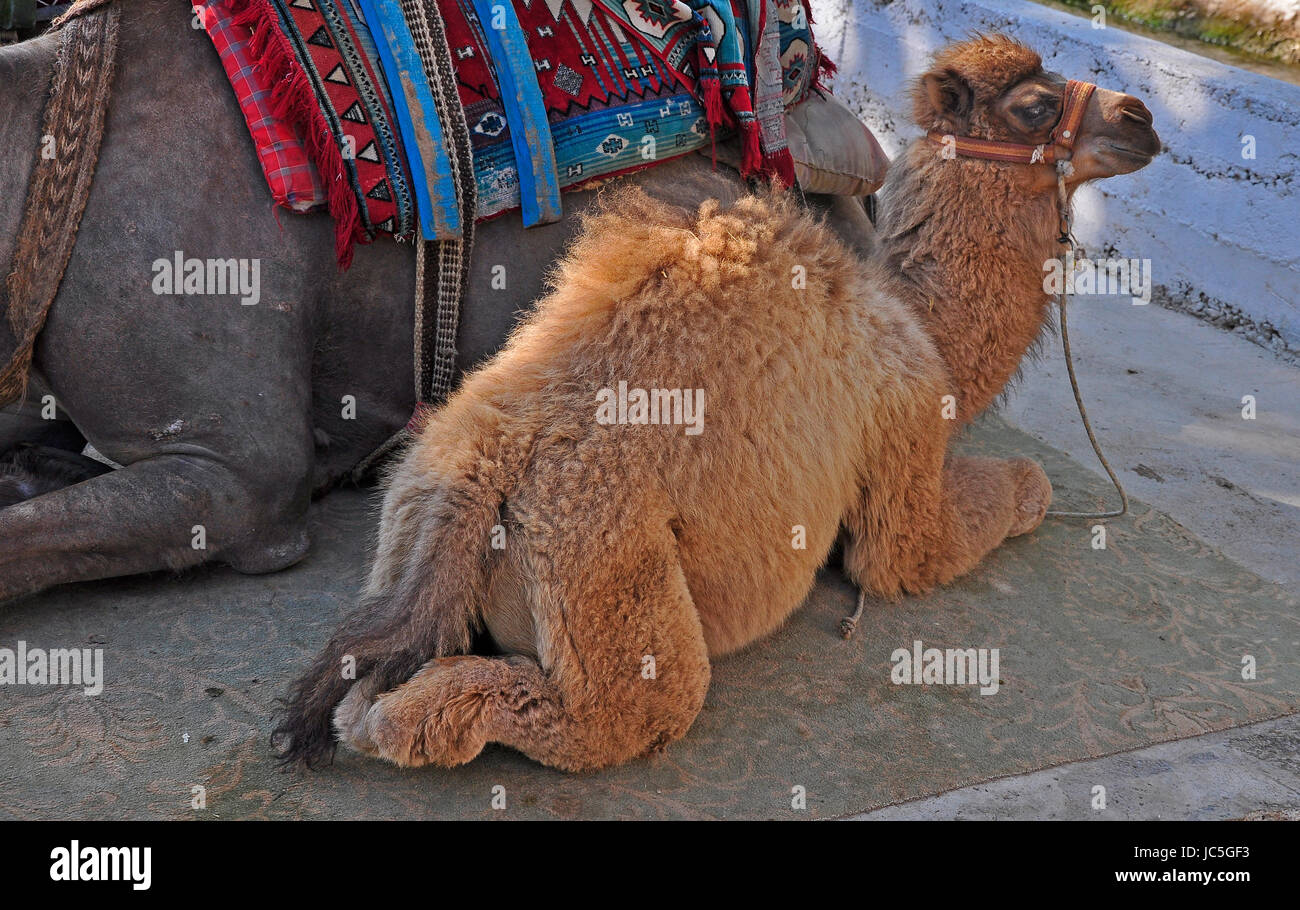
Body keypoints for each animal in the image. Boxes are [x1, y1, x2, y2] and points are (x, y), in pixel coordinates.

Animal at [273, 35, 1160, 771]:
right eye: (1035, 105)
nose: (1142, 118)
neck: (918, 326)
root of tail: (479, 478)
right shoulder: (904, 430)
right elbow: (926, 544)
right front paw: (1034, 494)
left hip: (408, 525)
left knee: (367, 686)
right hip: (604, 570)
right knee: (612, 713)